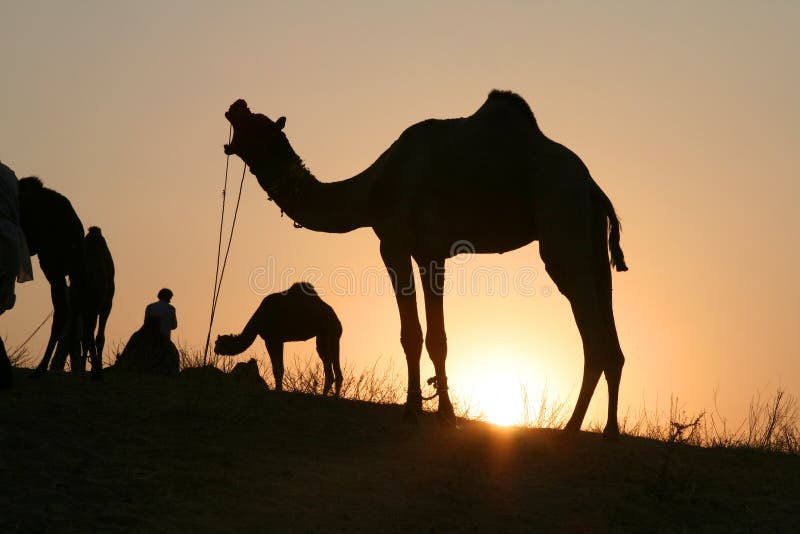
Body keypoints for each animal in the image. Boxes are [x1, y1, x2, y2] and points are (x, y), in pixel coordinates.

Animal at [18, 177, 101, 379]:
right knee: (83, 309)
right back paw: (96, 373)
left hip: (52, 260)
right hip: (76, 262)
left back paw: (40, 369)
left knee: (63, 308)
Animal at [214, 282, 343, 395]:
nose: (215, 350)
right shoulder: (278, 340)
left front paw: (278, 390)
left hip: (331, 332)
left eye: (218, 343)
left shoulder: (272, 339)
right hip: (322, 336)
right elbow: (278, 367)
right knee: (329, 363)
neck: (259, 319)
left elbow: (277, 368)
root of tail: (336, 318)